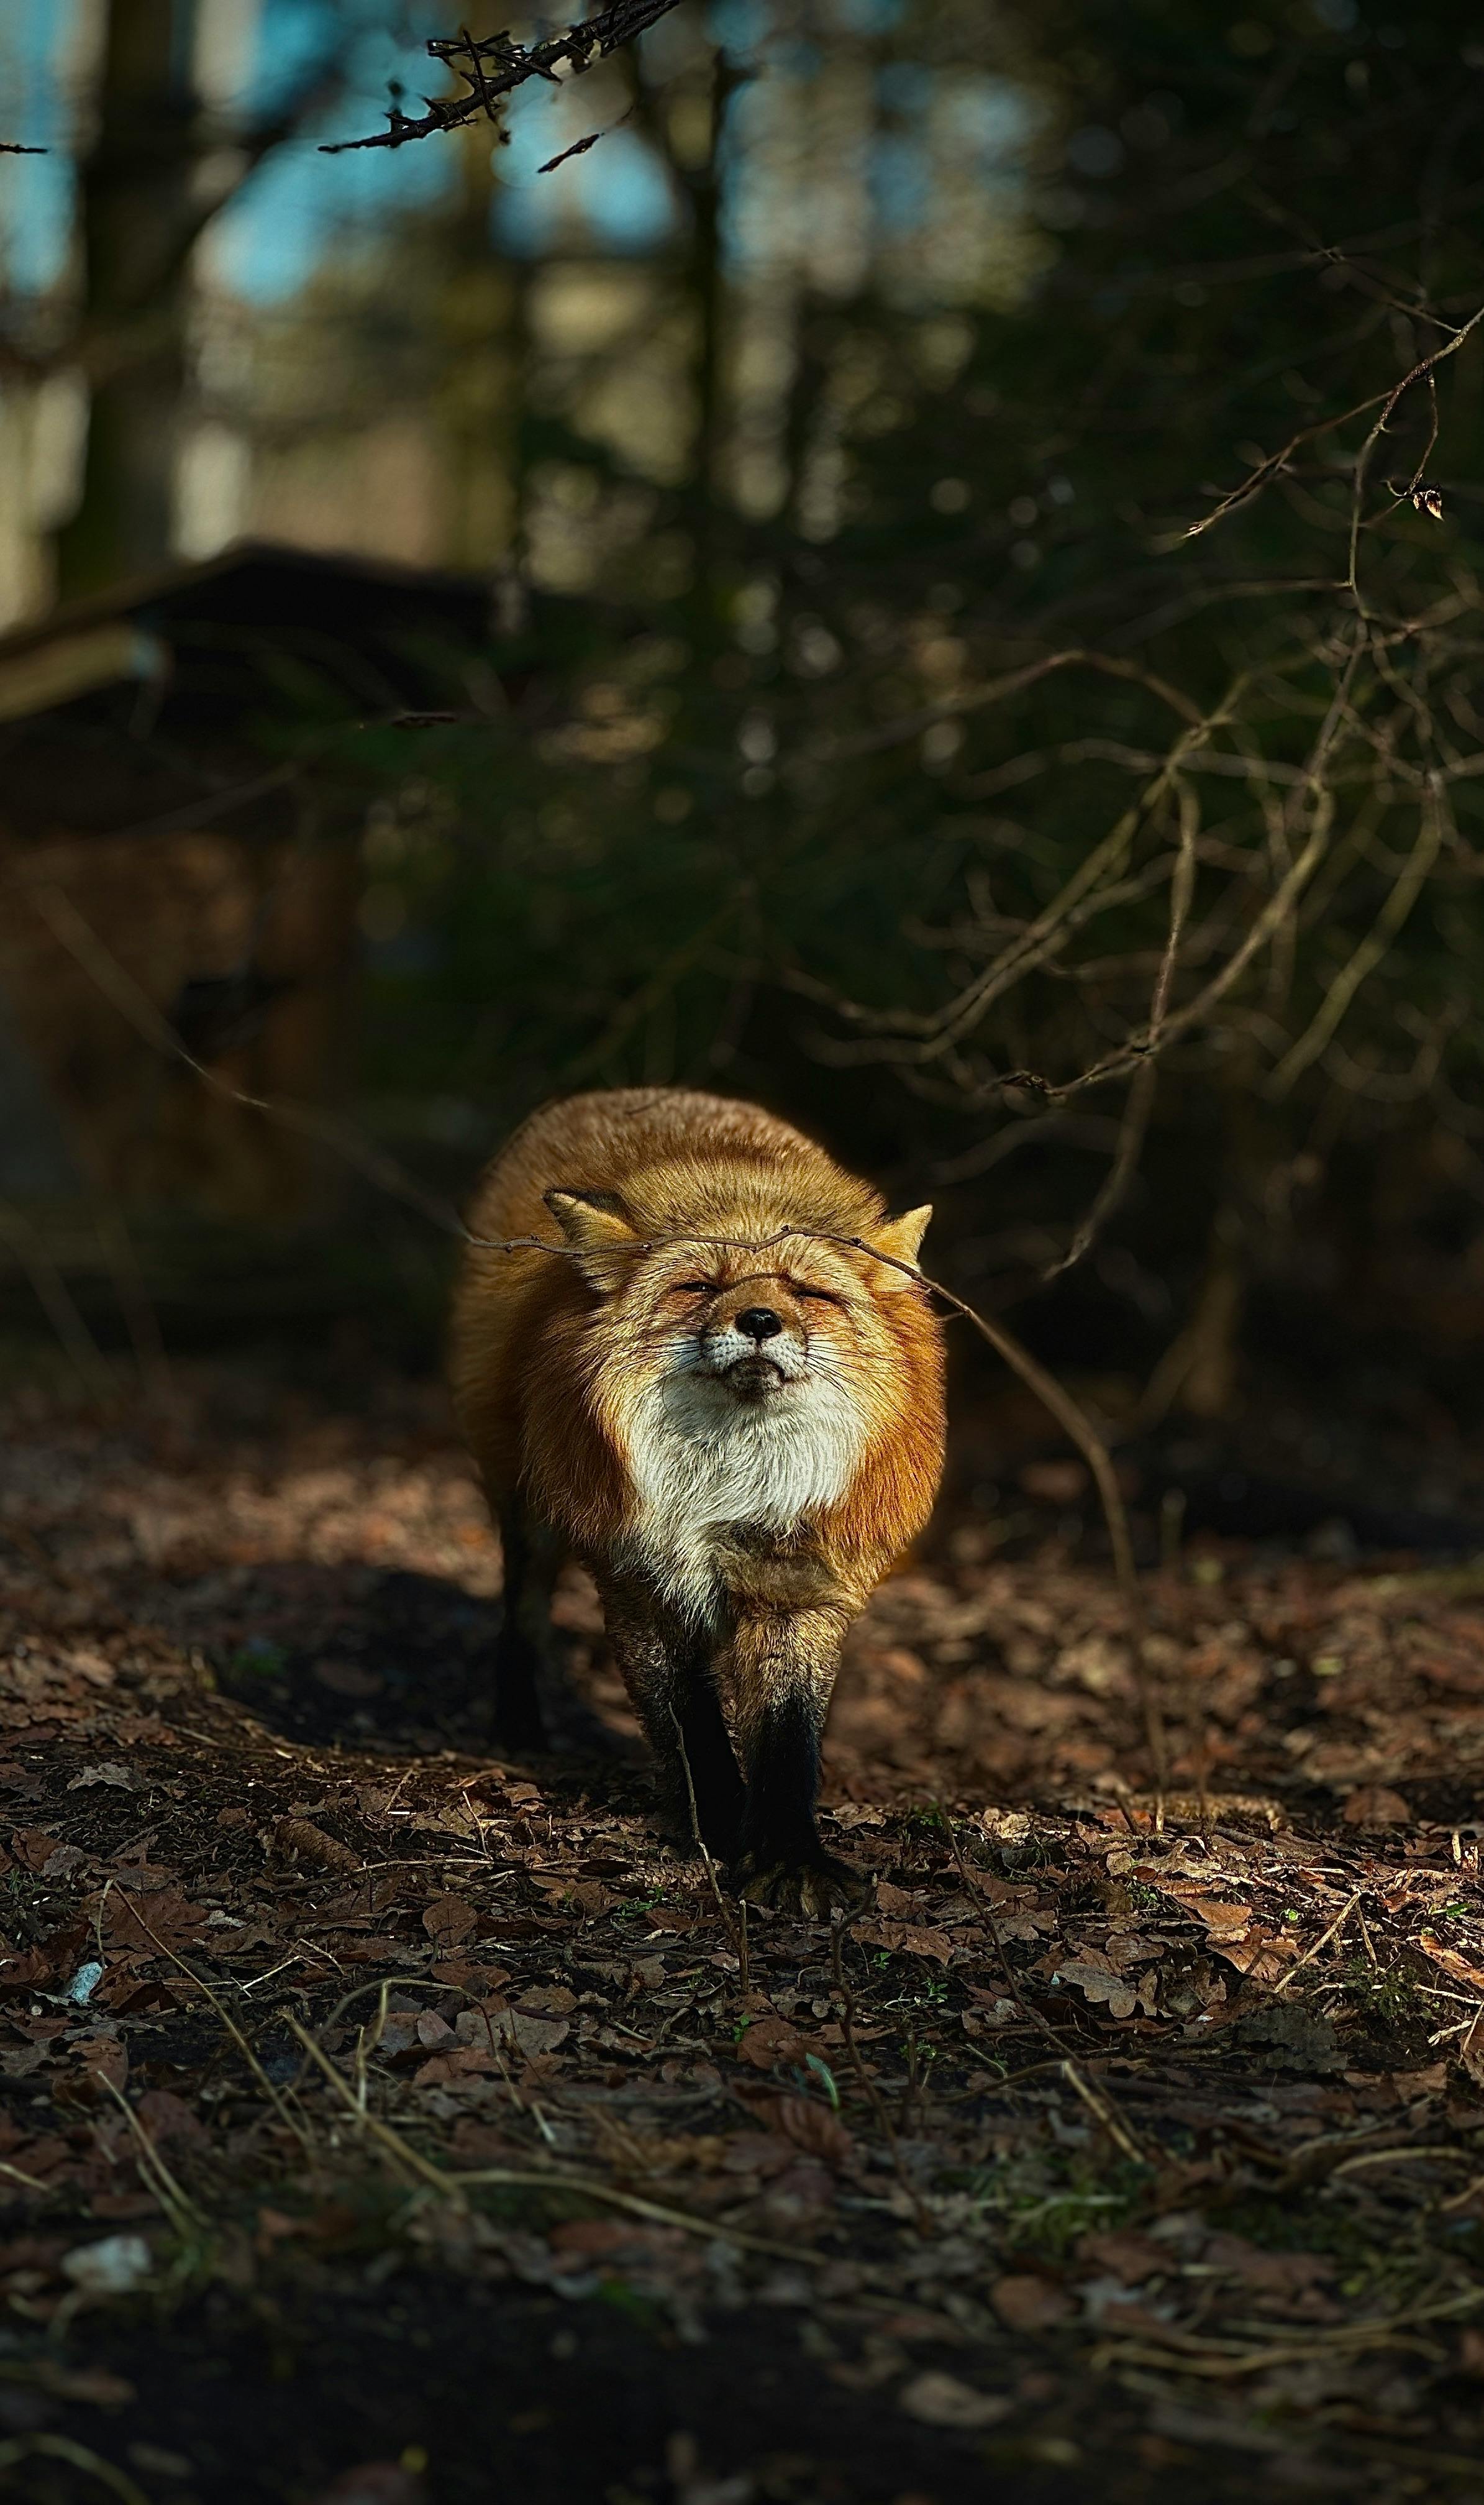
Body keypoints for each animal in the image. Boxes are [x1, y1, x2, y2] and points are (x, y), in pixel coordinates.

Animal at [449, 1087, 945, 1915]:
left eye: (806, 1291)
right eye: (700, 1288)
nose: (759, 1320)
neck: (723, 1495)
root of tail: (631, 1093)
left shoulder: (795, 1585)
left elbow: (787, 1739)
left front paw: (788, 1854)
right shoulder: (638, 1582)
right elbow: (691, 1728)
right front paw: (716, 1828)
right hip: (527, 1507)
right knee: (522, 1610)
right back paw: (517, 1723)